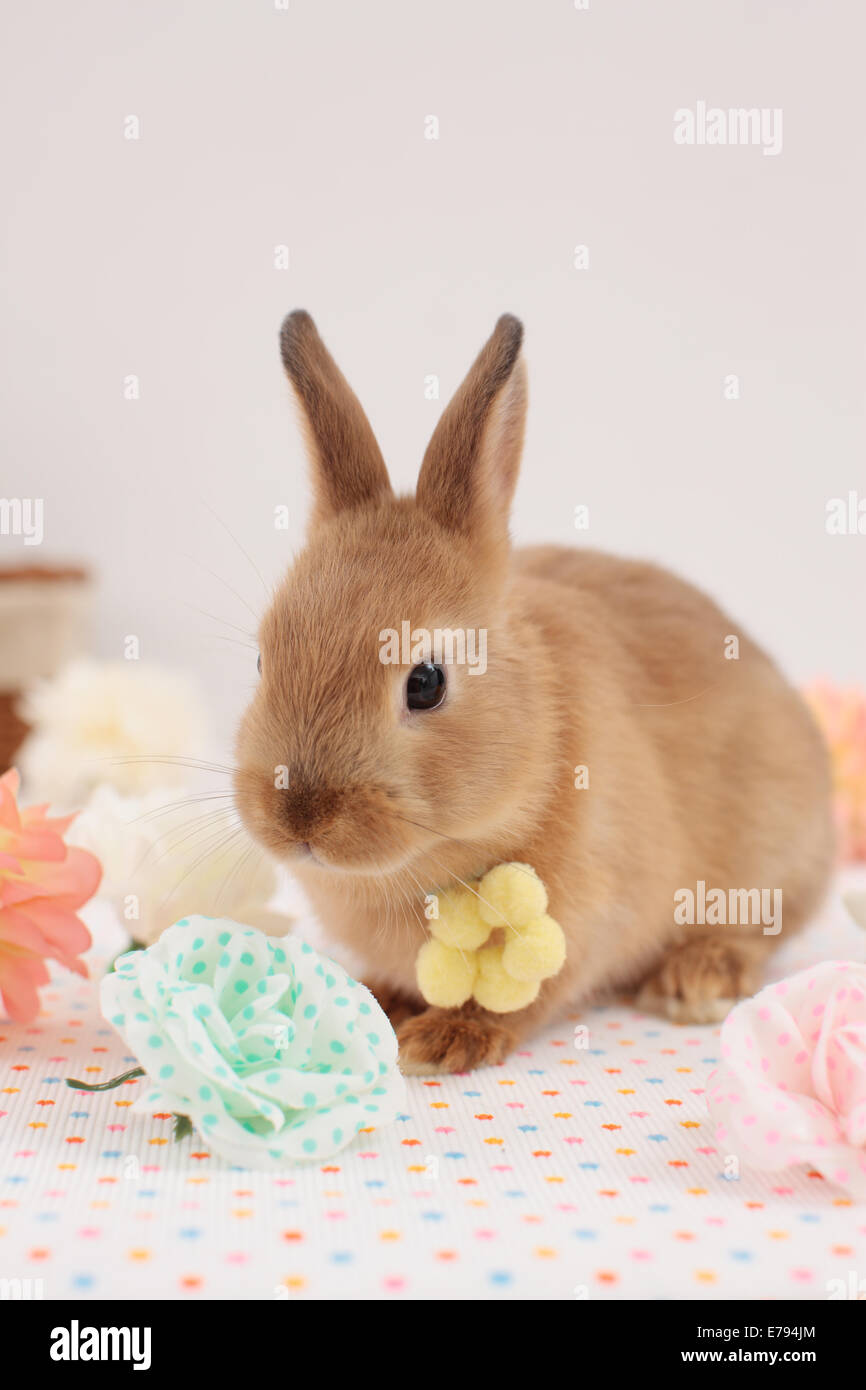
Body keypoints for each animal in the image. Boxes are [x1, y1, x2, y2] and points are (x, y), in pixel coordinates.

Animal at [234, 310, 835, 1075]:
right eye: (261, 659)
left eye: (425, 683)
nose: (298, 817)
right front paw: (379, 1003)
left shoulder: (589, 920)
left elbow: (529, 996)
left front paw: (443, 1041)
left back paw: (696, 980)